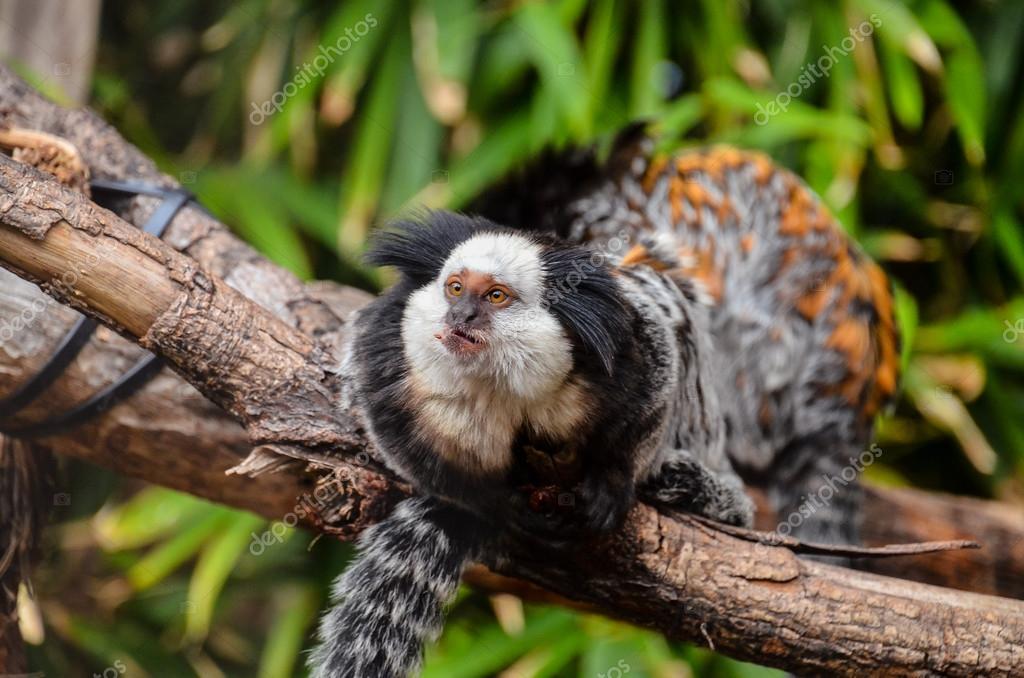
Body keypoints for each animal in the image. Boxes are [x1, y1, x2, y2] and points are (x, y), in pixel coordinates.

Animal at [308, 131, 899, 678]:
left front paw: (613, 484)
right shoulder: (388, 368)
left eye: (496, 296)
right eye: (455, 289)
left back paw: (714, 495)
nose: (462, 317)